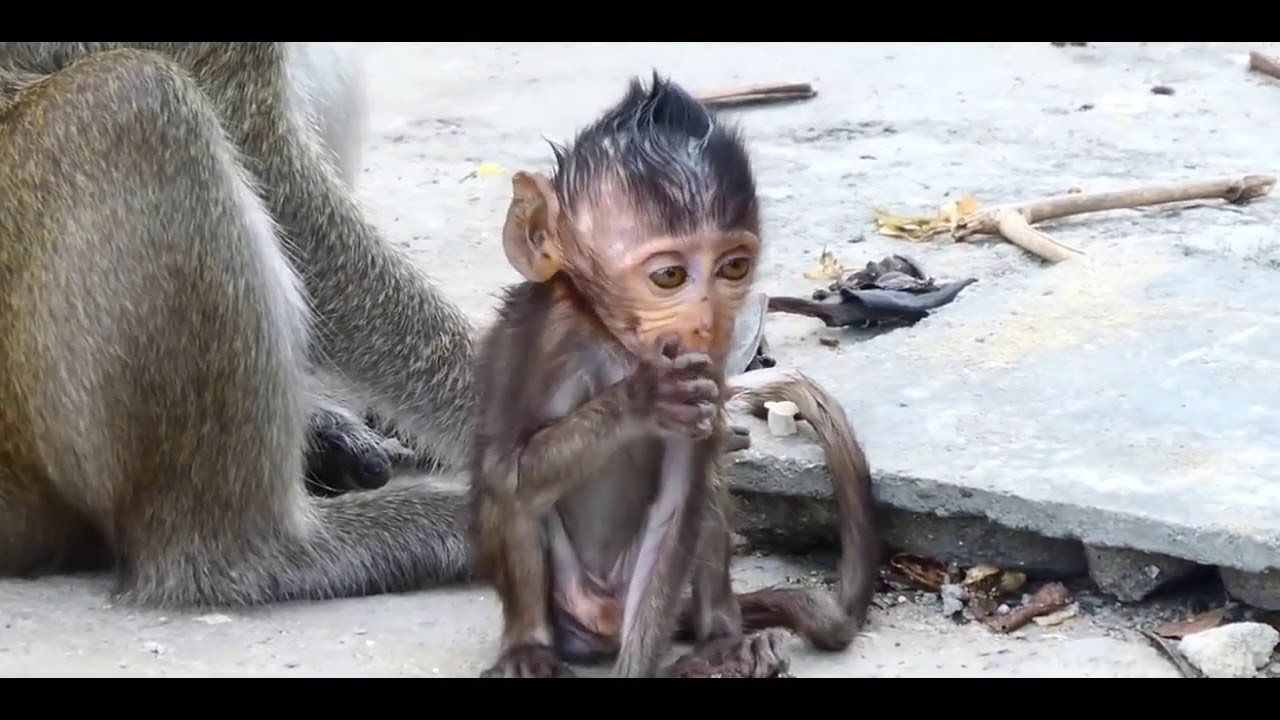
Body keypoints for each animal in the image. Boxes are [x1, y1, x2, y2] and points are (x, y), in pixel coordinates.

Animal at [467, 74, 878, 679]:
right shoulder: (548, 335)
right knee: (508, 498)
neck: (612, 337)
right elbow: (510, 471)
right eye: (669, 277)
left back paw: (722, 640)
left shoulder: (712, 372)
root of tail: (601, 623)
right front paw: (643, 398)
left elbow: (680, 503)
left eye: (733, 267)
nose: (707, 324)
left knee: (706, 496)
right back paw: (529, 648)